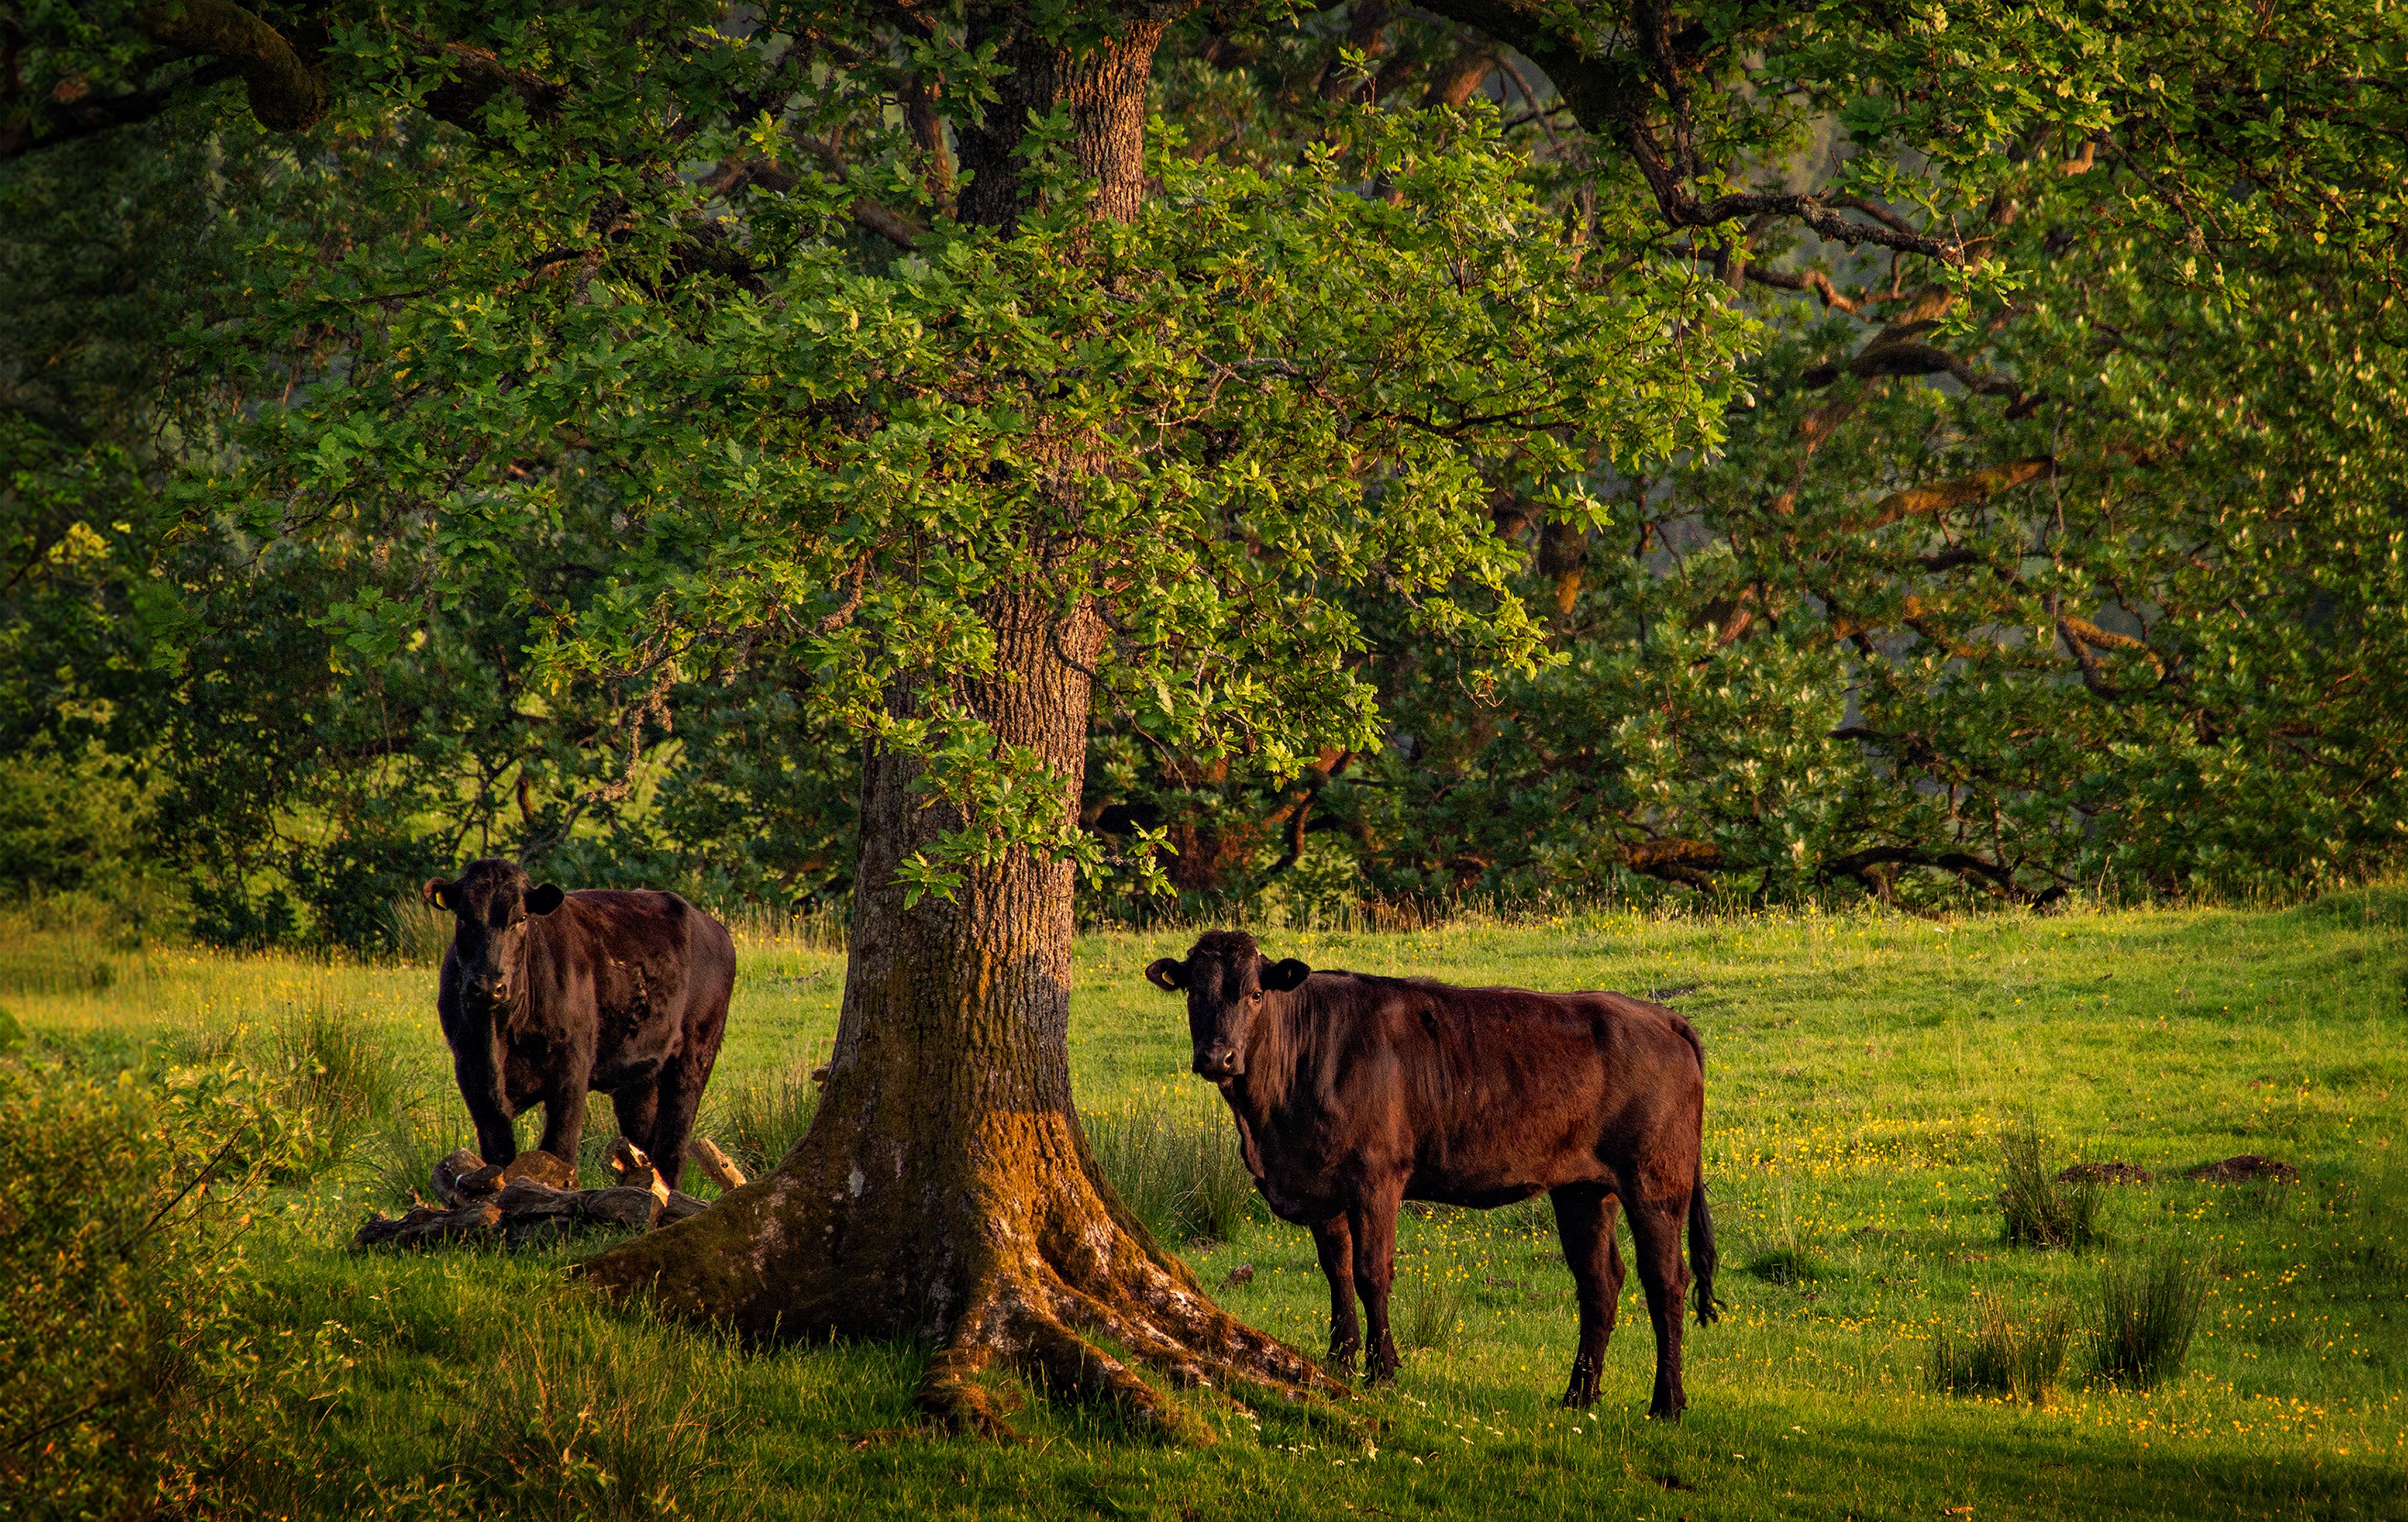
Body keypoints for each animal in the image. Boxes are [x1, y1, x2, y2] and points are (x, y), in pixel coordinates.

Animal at [425, 858, 737, 1191]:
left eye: (521, 918)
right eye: (463, 918)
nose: (487, 986)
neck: (498, 1035)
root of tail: (711, 927)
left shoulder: (571, 1068)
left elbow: (558, 1150)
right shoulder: (471, 1073)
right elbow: (498, 1155)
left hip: (695, 1057)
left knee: (673, 1147)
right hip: (639, 1075)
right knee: (644, 1145)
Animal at [1145, 930, 1720, 1420]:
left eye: (1256, 993)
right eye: (1194, 993)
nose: (1218, 1056)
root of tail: (1660, 1015)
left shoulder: (1376, 1177)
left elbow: (1371, 1272)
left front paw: (1382, 1369)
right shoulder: (1323, 1186)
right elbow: (1336, 1270)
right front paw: (1339, 1359)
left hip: (1656, 1182)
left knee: (1666, 1280)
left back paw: (1667, 1402)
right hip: (1583, 1189)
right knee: (1599, 1281)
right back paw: (1578, 1395)